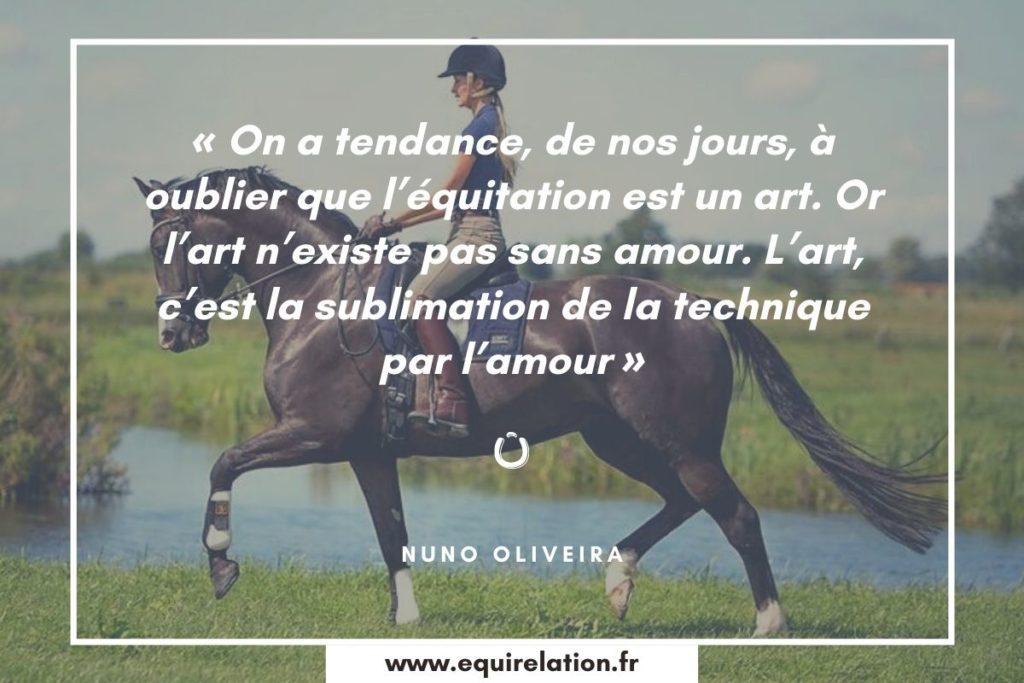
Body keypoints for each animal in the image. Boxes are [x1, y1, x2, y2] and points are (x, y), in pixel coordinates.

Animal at [133, 167, 945, 636]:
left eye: (175, 244)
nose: (172, 334)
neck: (322, 296)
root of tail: (693, 303)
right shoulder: (366, 451)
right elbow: (392, 532)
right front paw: (407, 619)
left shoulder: (310, 433)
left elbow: (223, 464)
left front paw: (221, 568)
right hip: (620, 441)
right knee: (685, 502)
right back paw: (618, 584)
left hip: (676, 442)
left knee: (736, 513)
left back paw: (769, 626)